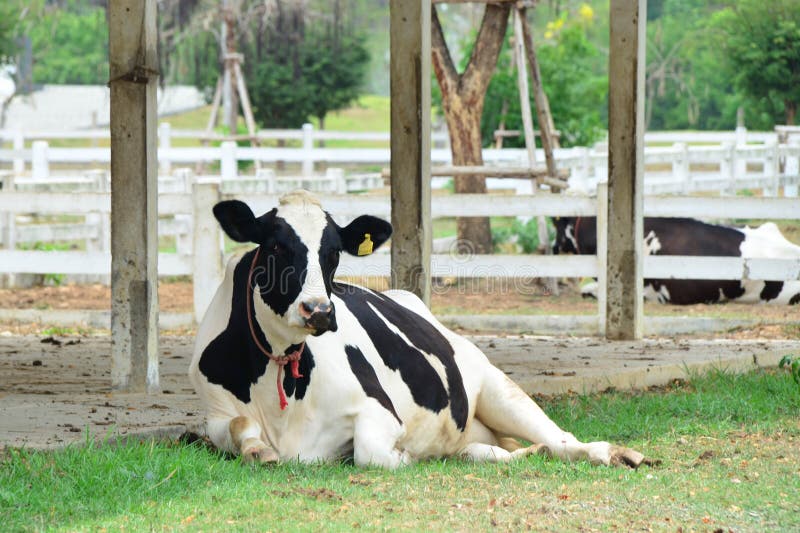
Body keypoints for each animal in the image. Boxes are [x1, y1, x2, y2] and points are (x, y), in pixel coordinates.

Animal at [189, 191, 645, 469]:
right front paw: (258, 450)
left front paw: (407, 456)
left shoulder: (377, 408)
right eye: (276, 246)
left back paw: (616, 453)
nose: (319, 311)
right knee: (490, 450)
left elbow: (371, 452)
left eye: (333, 252)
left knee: (562, 440)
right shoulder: (214, 411)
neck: (280, 374)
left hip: (497, 387)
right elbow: (237, 425)